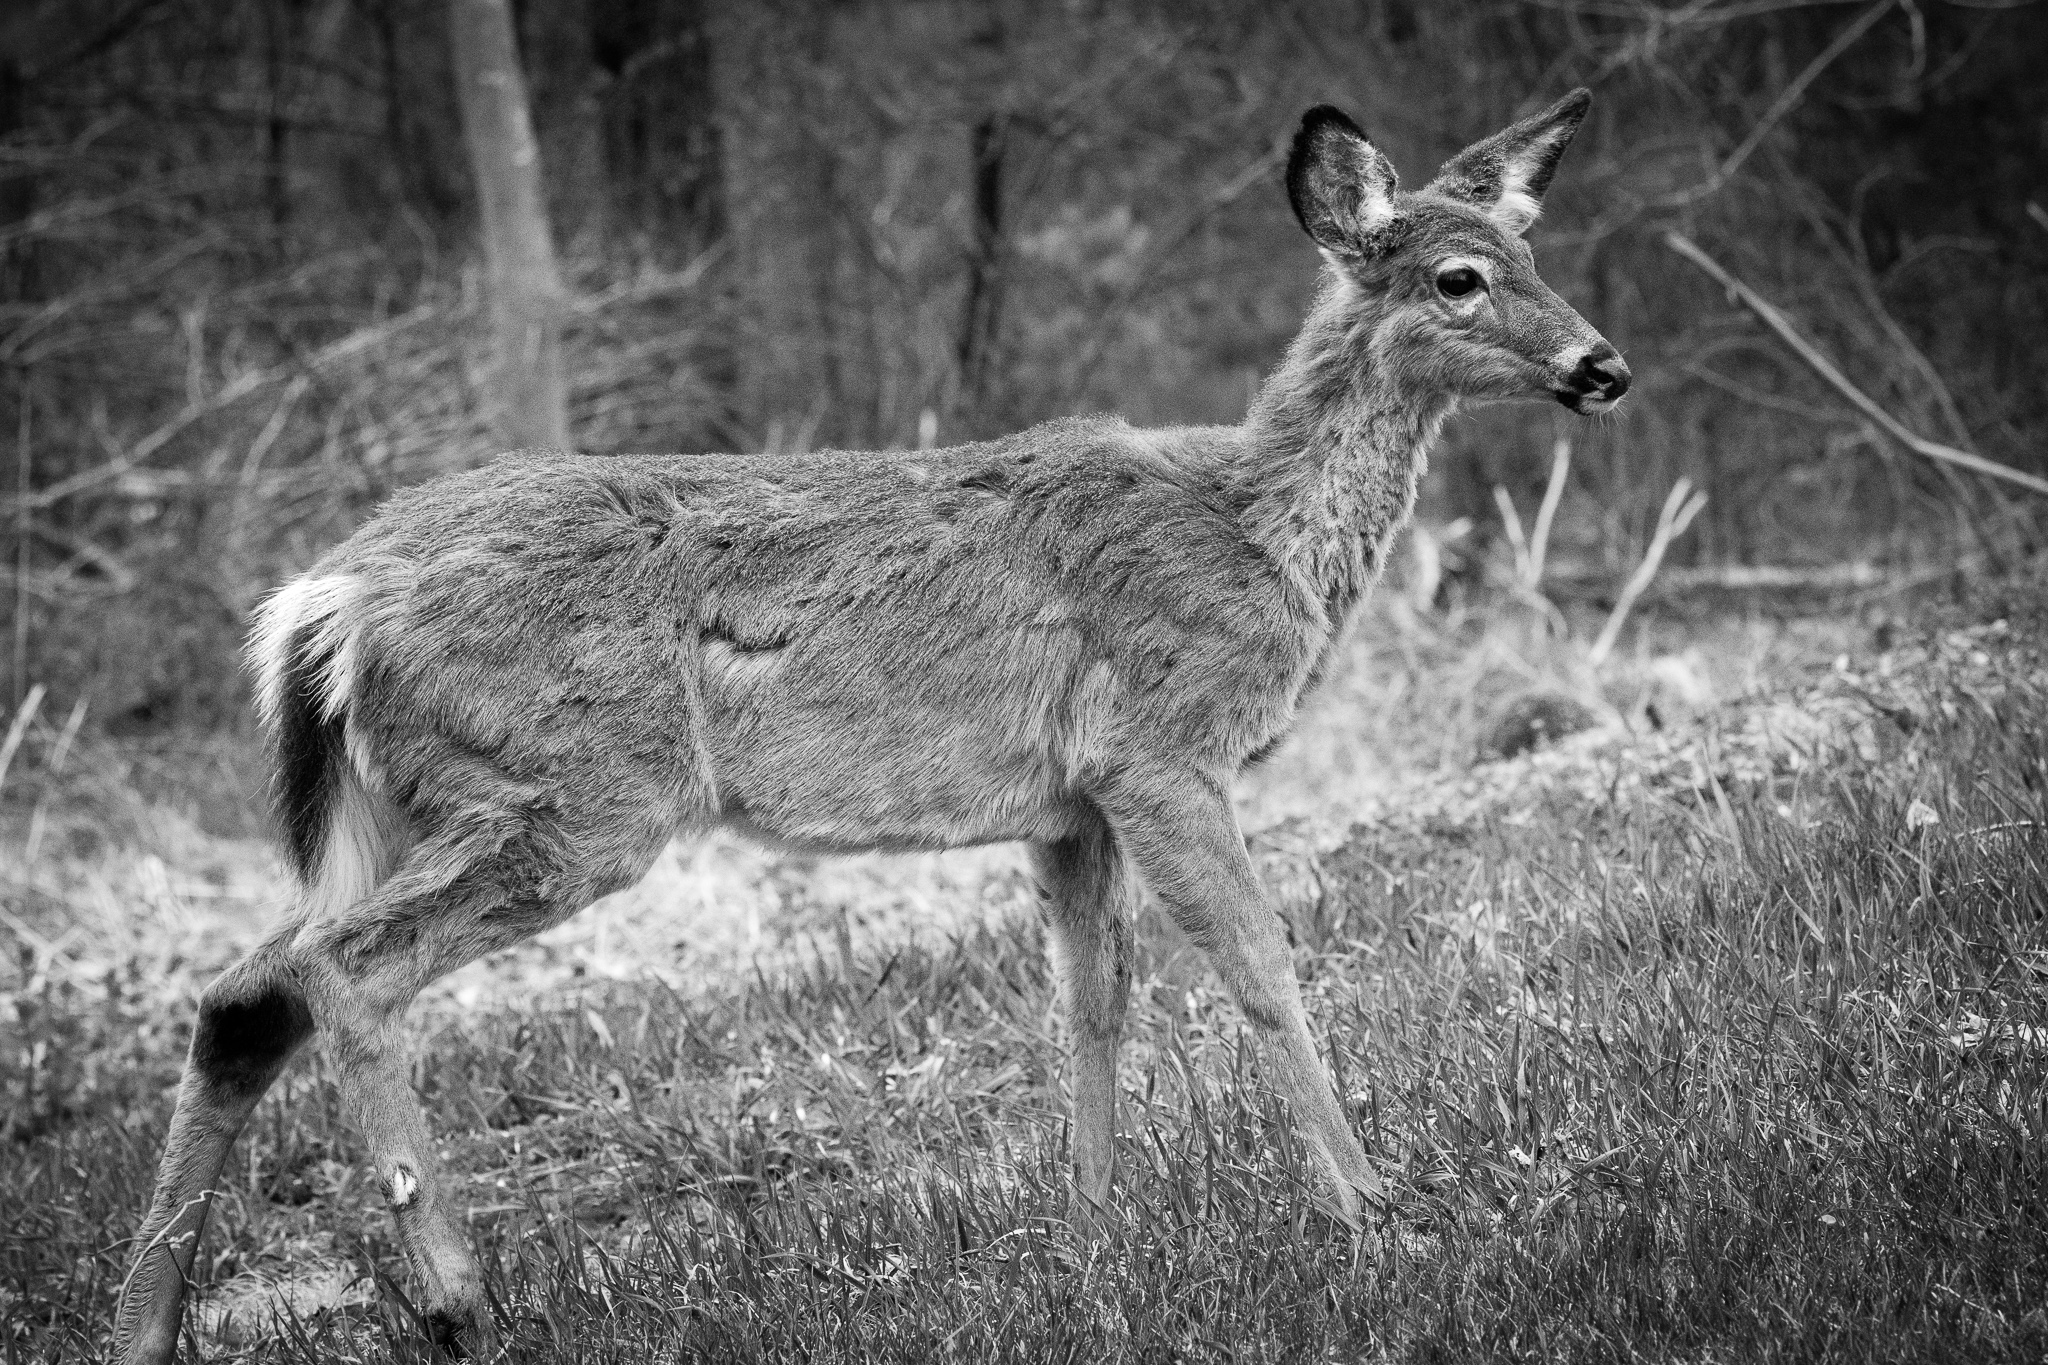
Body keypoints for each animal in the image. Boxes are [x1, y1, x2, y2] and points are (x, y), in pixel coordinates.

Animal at [115, 89, 1628, 1361]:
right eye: (1457, 278)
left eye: (1532, 251)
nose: (1601, 363)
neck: (1255, 533)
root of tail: (322, 599)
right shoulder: (1160, 746)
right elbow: (1261, 967)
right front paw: (1376, 1209)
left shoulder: (1069, 800)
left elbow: (1091, 1000)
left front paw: (1096, 1232)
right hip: (571, 788)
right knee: (344, 967)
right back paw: (455, 1298)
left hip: (414, 802)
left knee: (244, 990)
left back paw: (148, 1325)